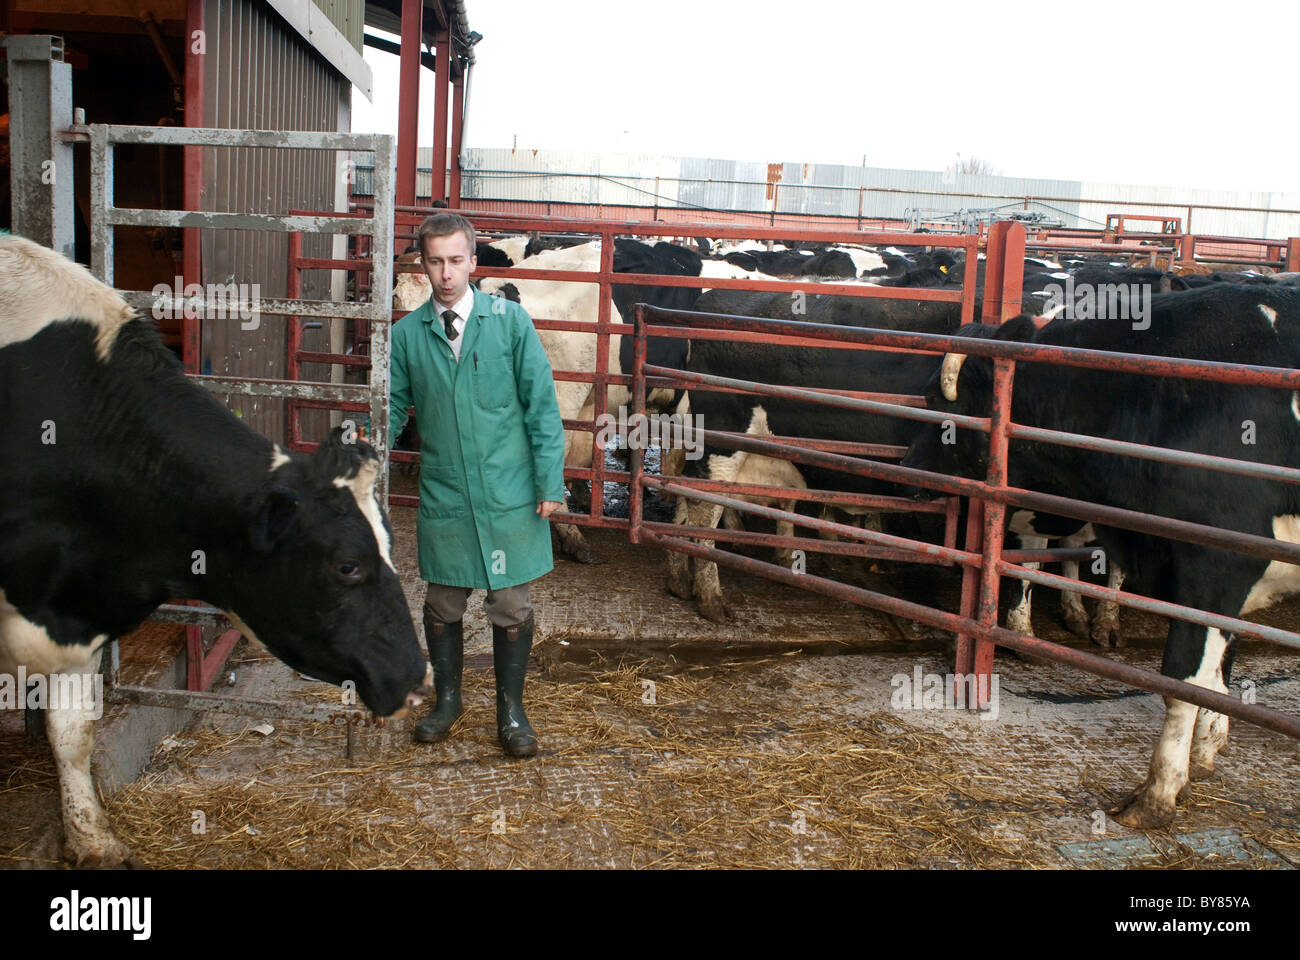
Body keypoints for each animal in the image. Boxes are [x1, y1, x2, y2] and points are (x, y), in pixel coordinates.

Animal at [902, 283, 1300, 827]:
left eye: (930, 398)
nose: (907, 467)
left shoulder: (1215, 565)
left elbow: (1186, 678)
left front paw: (1159, 792)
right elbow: (1217, 671)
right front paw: (1207, 746)